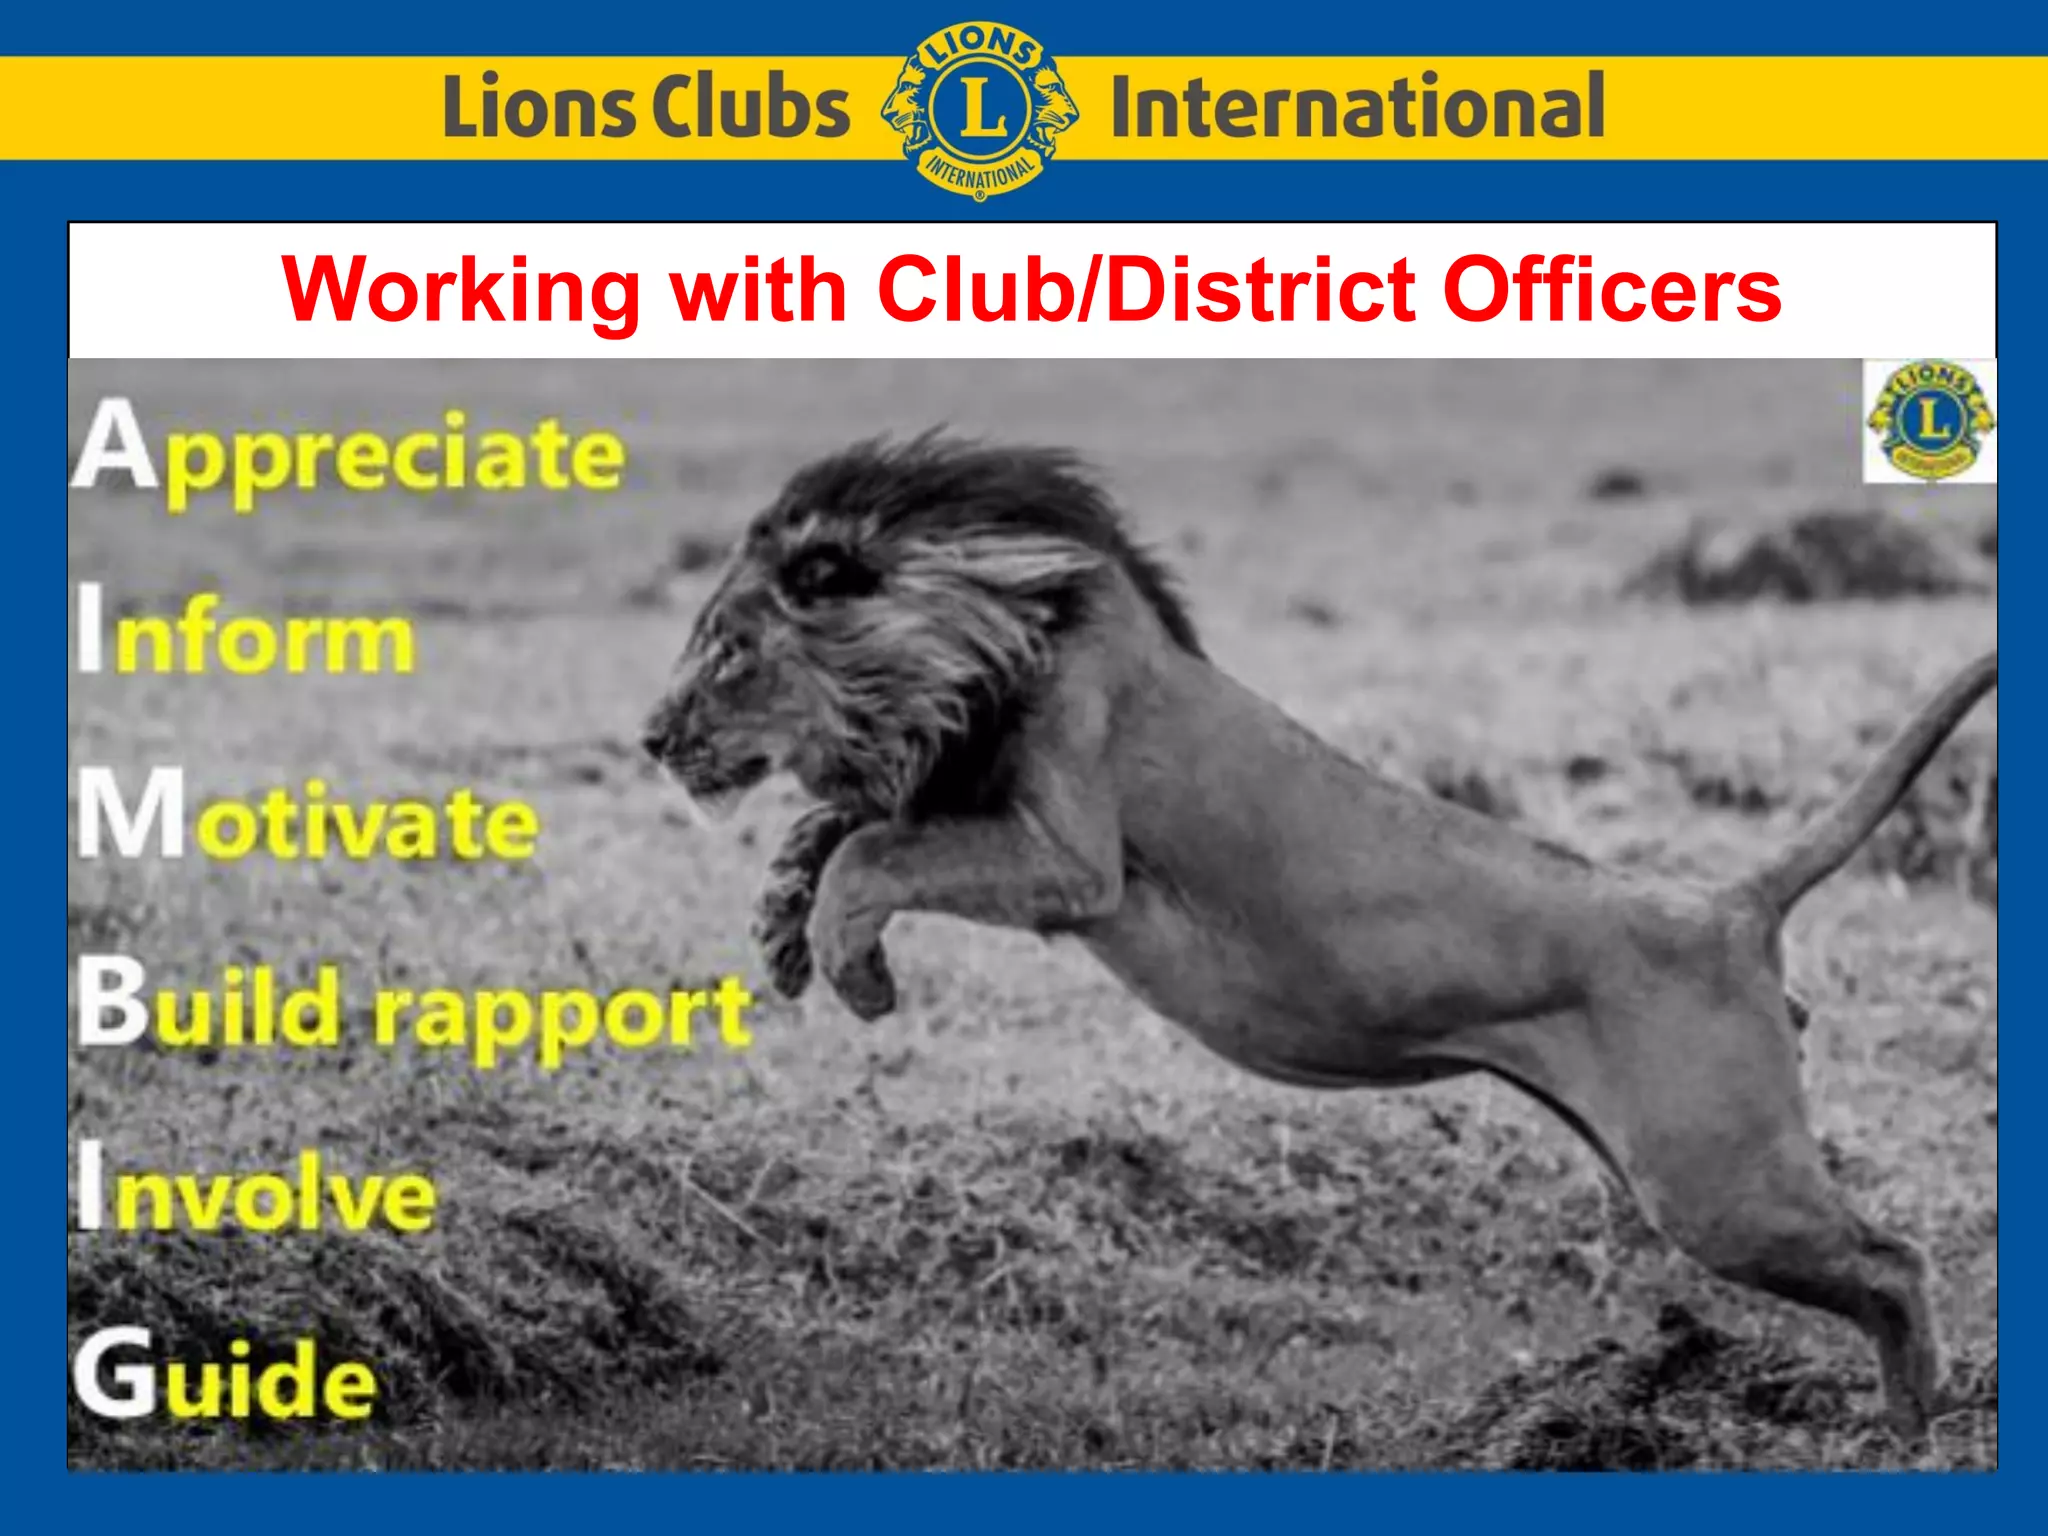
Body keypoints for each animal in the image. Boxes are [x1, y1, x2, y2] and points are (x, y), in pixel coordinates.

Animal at [641, 434, 1996, 1435]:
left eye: (729, 650)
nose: (652, 738)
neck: (998, 630)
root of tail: (1729, 906)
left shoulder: (1069, 859)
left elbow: (871, 850)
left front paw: (850, 967)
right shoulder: (958, 783)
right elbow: (838, 822)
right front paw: (779, 929)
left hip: (1714, 1181)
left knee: (1895, 1261)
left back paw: (1914, 1418)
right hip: (1696, 1175)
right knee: (1877, 1265)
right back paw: (1900, 1417)